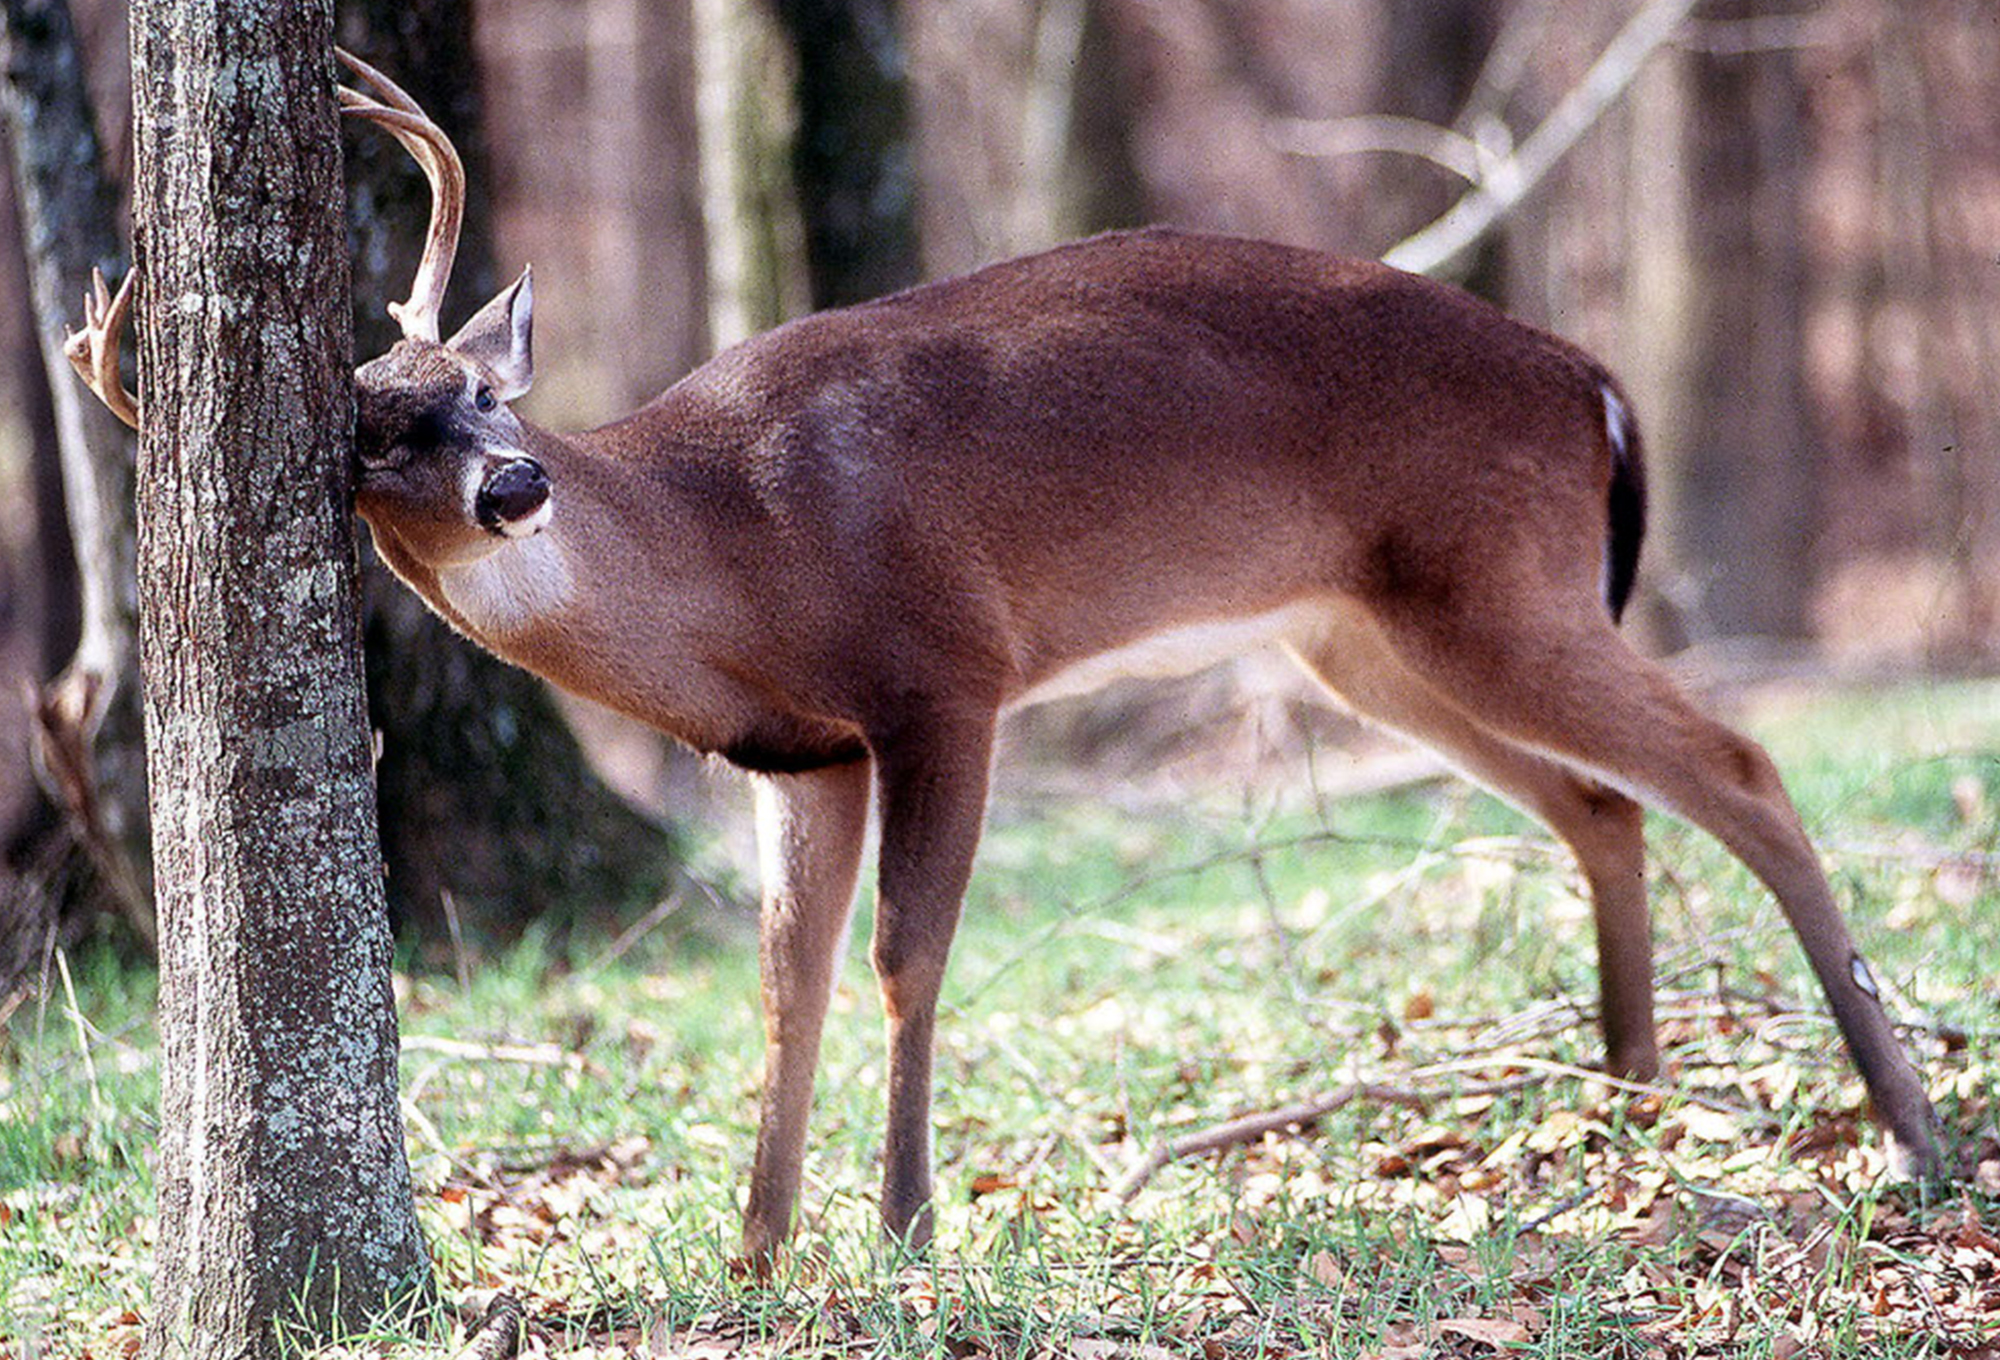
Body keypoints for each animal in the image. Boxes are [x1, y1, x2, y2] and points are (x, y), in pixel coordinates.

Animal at [68, 50, 1942, 1264]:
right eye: (374, 444)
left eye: (481, 393)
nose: (516, 487)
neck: (738, 554)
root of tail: (1596, 383)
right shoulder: (800, 752)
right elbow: (787, 983)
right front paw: (760, 1248)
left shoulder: (946, 669)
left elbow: (909, 954)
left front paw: (903, 1233)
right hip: (1375, 640)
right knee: (1606, 805)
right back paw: (1628, 1095)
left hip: (1499, 587)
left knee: (1743, 765)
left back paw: (1907, 1131)